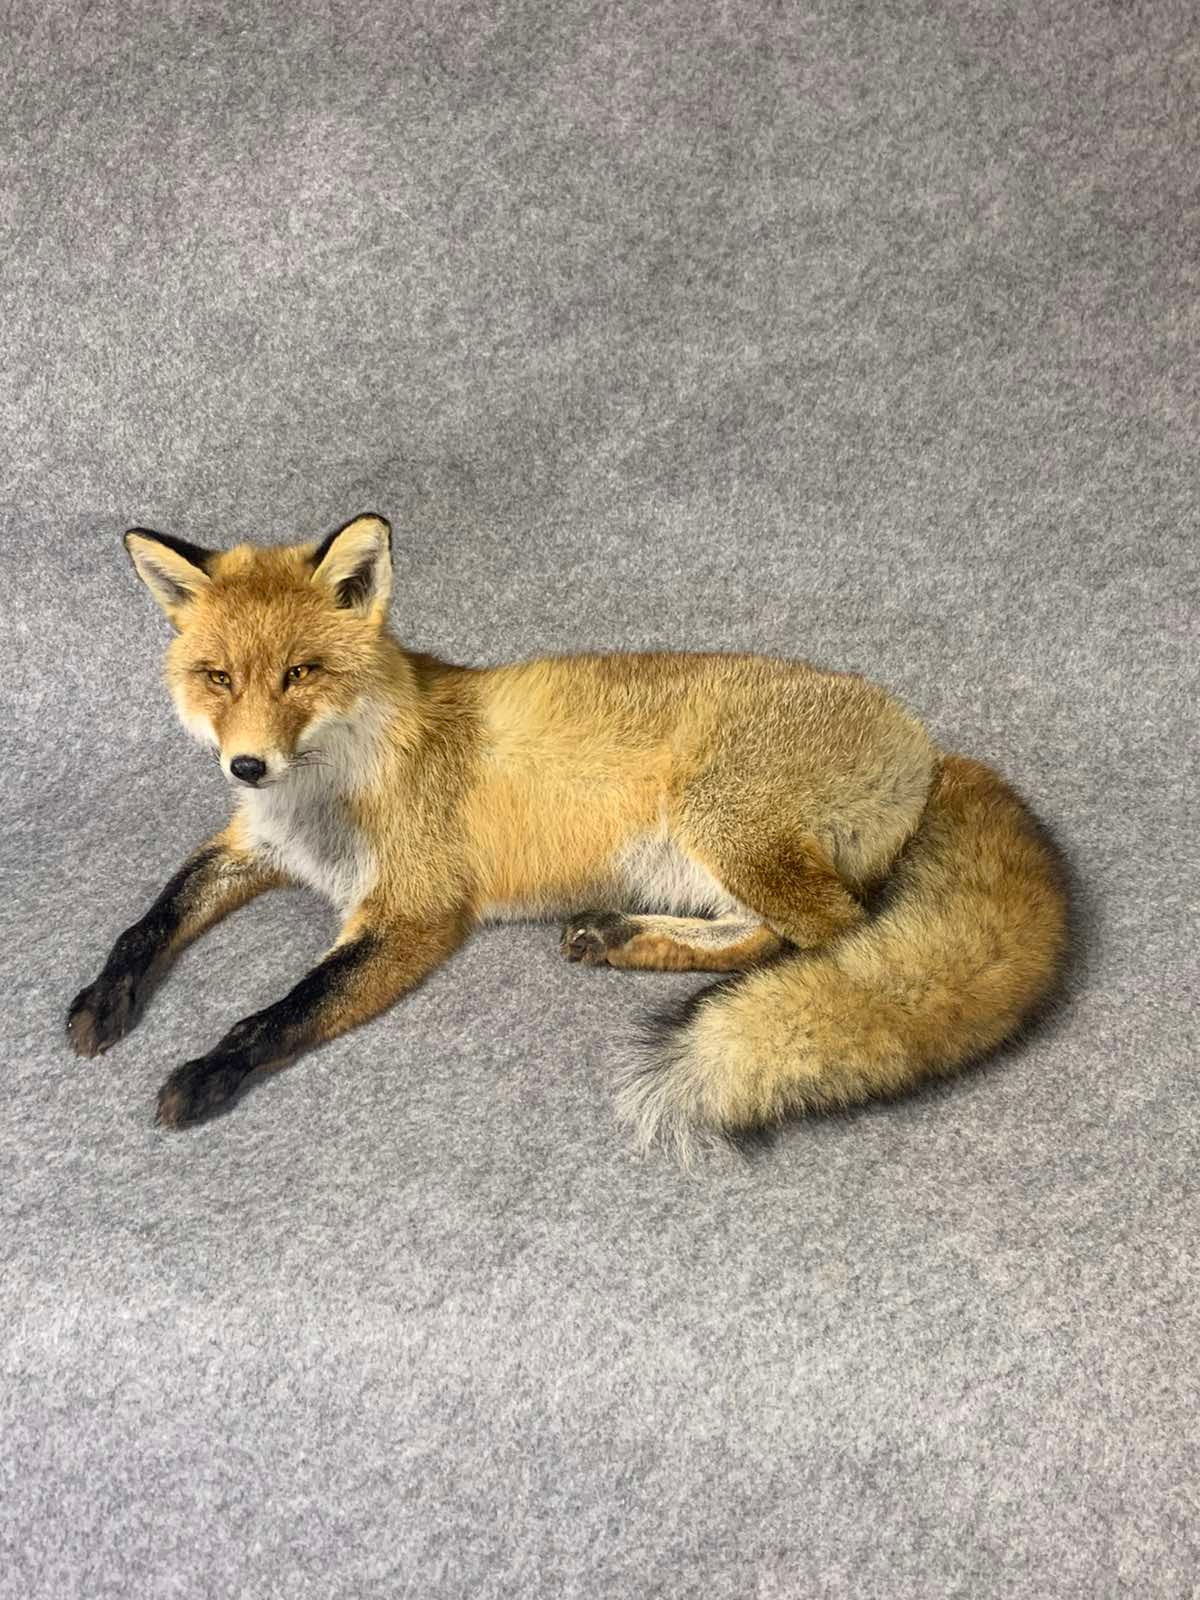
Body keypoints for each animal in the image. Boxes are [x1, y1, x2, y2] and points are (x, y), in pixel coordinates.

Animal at [67, 513, 1068, 1160]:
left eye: (301, 674)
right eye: (219, 678)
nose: (247, 766)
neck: (324, 797)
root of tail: (932, 750)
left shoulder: (414, 911)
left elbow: (281, 1010)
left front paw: (209, 1071)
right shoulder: (252, 845)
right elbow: (148, 921)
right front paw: (103, 1000)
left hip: (725, 823)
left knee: (838, 939)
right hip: (703, 858)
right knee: (773, 930)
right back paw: (623, 936)